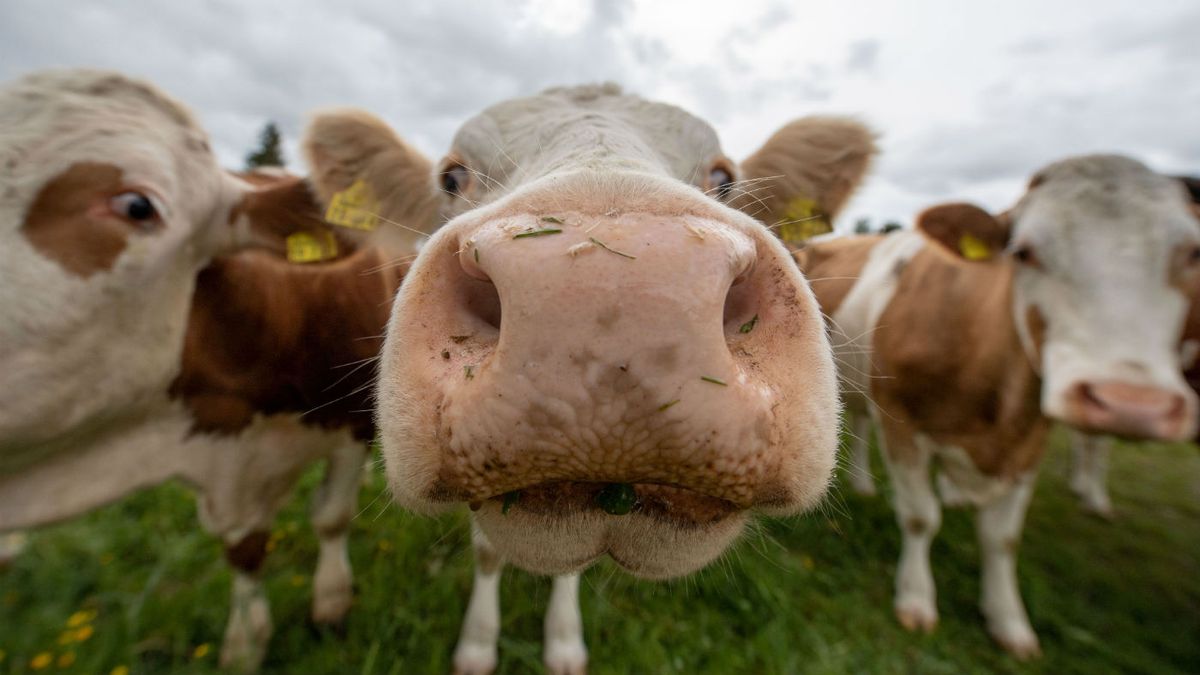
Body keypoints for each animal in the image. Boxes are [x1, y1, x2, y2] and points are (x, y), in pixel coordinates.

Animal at [0, 69, 427, 672]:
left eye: (136, 206)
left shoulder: (351, 422)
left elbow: (330, 516)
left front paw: (331, 603)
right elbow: (243, 549)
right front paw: (245, 641)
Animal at [302, 84, 876, 674]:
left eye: (724, 178)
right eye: (452, 177)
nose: (610, 290)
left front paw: (562, 642)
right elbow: (487, 554)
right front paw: (478, 645)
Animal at [796, 155, 1200, 657]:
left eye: (1192, 253)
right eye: (1023, 252)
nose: (1132, 404)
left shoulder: (1029, 443)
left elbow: (1001, 539)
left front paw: (1009, 621)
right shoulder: (904, 423)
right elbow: (920, 517)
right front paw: (916, 600)